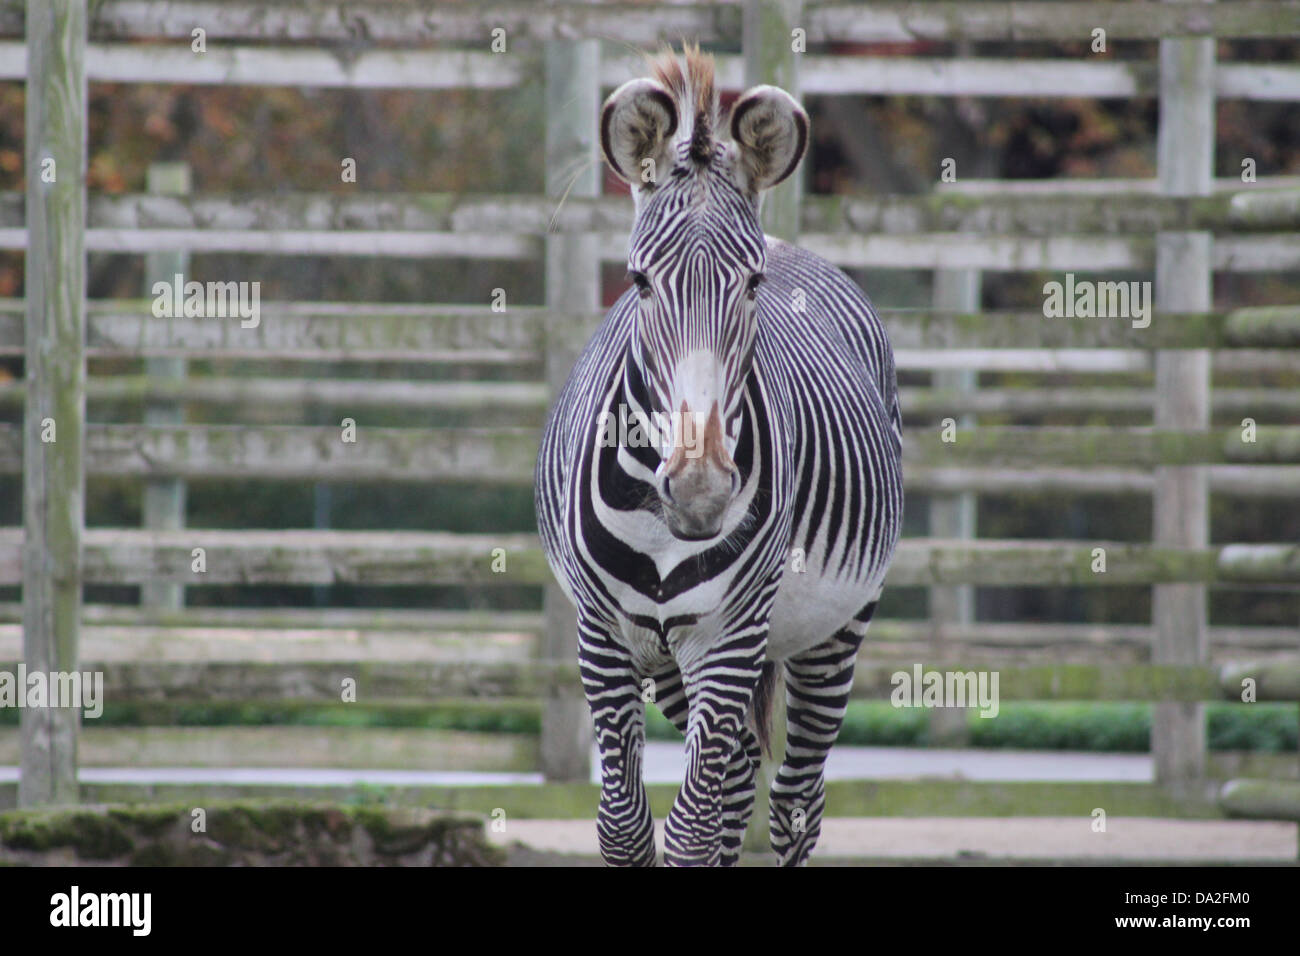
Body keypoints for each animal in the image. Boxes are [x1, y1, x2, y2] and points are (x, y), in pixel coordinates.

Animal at [535, 46, 903, 867]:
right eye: (638, 281)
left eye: (753, 283)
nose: (700, 490)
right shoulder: (603, 641)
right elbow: (628, 828)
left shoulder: (728, 638)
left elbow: (691, 830)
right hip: (680, 665)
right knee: (737, 790)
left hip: (835, 627)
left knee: (794, 802)